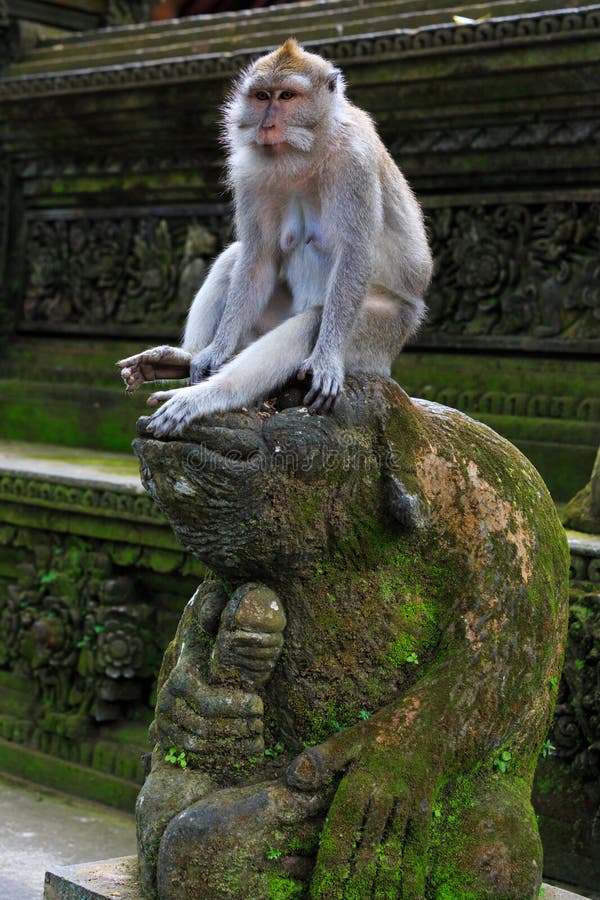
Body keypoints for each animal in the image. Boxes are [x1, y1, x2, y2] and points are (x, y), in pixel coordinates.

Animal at [117, 39, 433, 437]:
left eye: (287, 96)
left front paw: (326, 360)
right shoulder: (248, 171)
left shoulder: (354, 164)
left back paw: (208, 396)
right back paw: (184, 359)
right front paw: (216, 350)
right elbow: (258, 256)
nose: (267, 123)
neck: (304, 152)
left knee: (312, 320)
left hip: (382, 337)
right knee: (233, 259)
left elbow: (355, 253)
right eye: (262, 96)